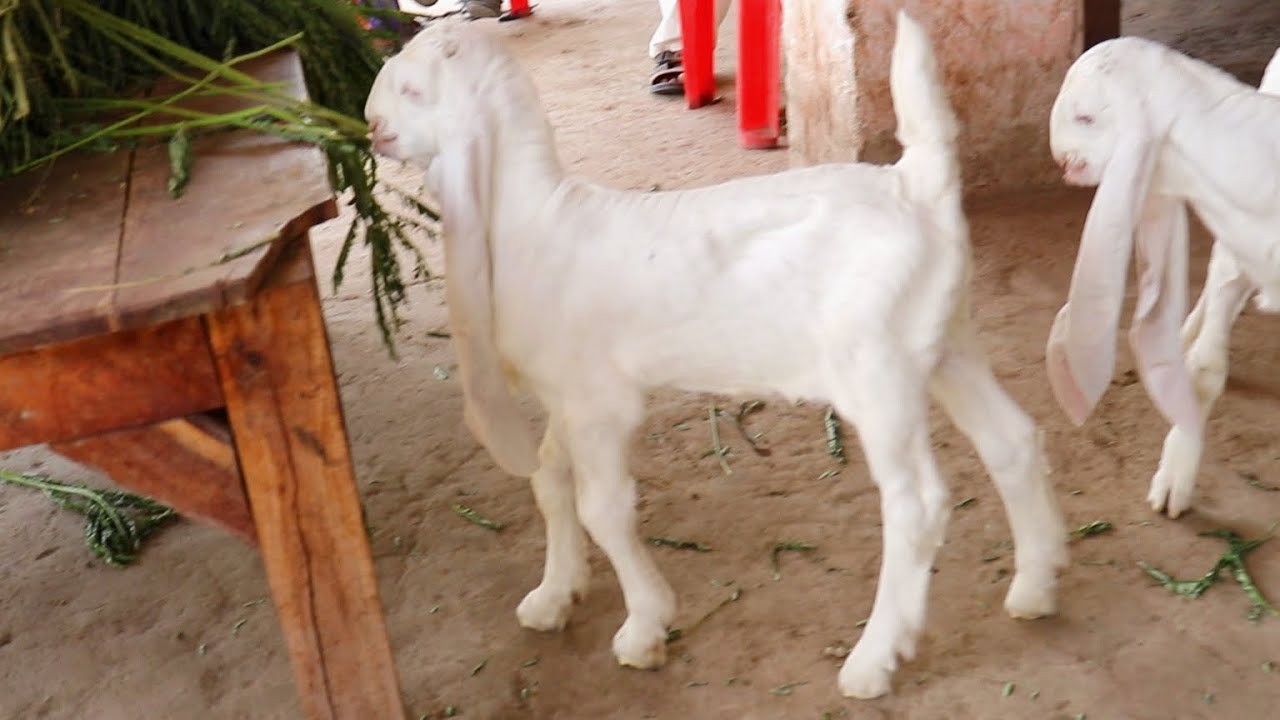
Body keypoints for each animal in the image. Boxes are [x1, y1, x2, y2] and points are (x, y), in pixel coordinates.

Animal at [365, 11, 1066, 699]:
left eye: (413, 91)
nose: (372, 129)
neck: (535, 220)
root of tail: (915, 184)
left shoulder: (600, 405)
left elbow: (604, 508)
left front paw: (644, 627)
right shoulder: (569, 395)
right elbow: (548, 479)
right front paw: (551, 596)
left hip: (878, 371)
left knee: (916, 503)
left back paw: (872, 661)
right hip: (948, 343)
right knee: (1011, 440)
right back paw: (1035, 586)